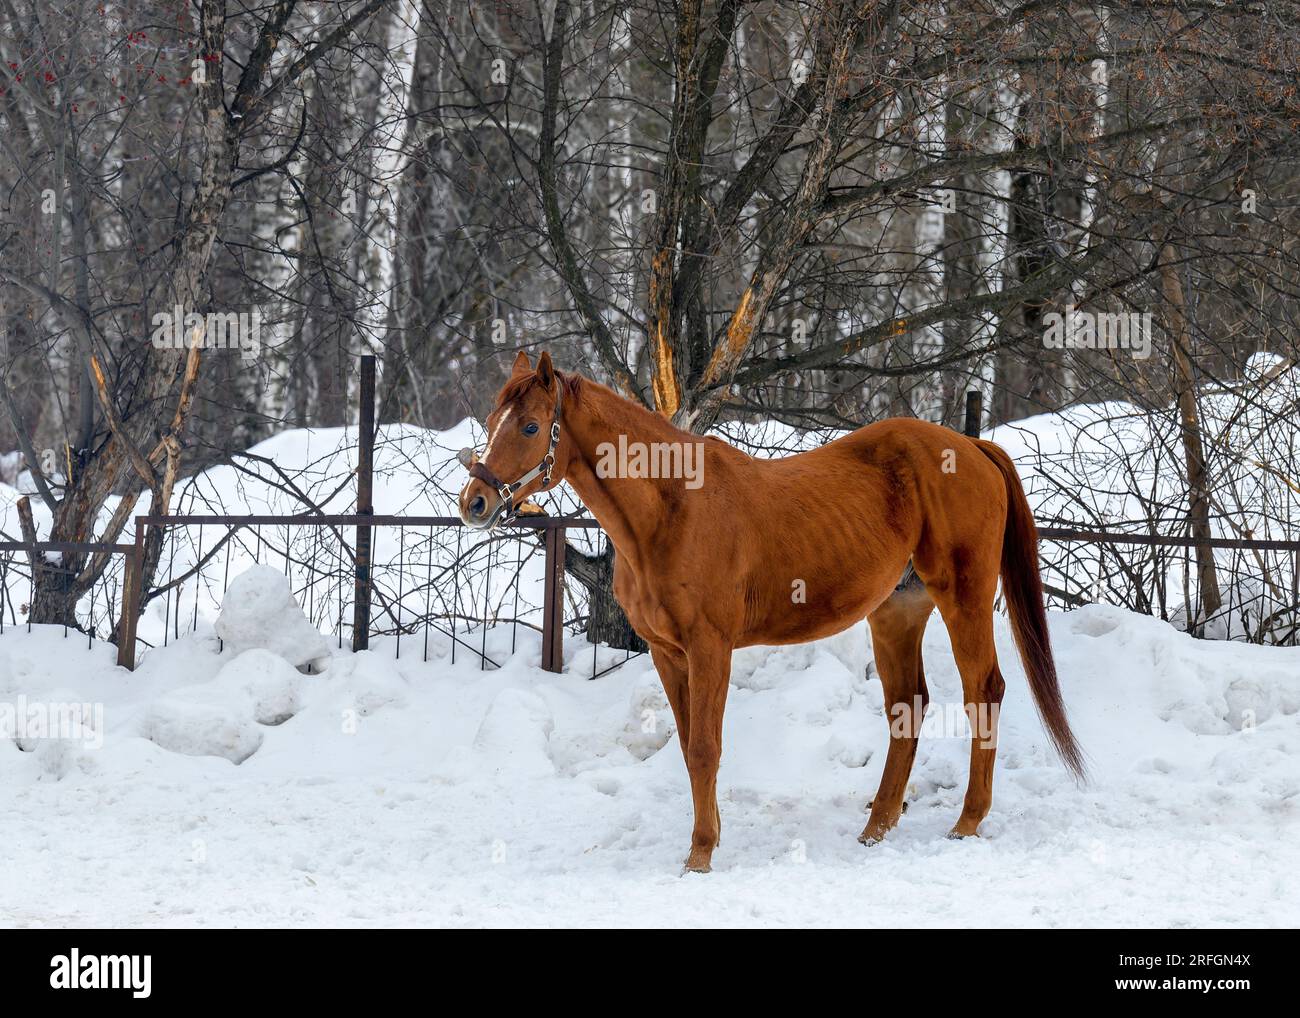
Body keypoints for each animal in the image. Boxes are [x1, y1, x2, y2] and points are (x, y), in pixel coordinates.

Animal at [459, 350, 1085, 873]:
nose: (475, 503)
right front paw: (709, 837)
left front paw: (700, 857)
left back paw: (967, 822)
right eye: (491, 421)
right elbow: (689, 747)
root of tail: (972, 448)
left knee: (985, 690)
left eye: (531, 426)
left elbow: (705, 749)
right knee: (907, 707)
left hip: (964, 598)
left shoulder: (710, 648)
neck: (671, 506)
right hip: (897, 614)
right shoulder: (667, 653)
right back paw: (876, 827)